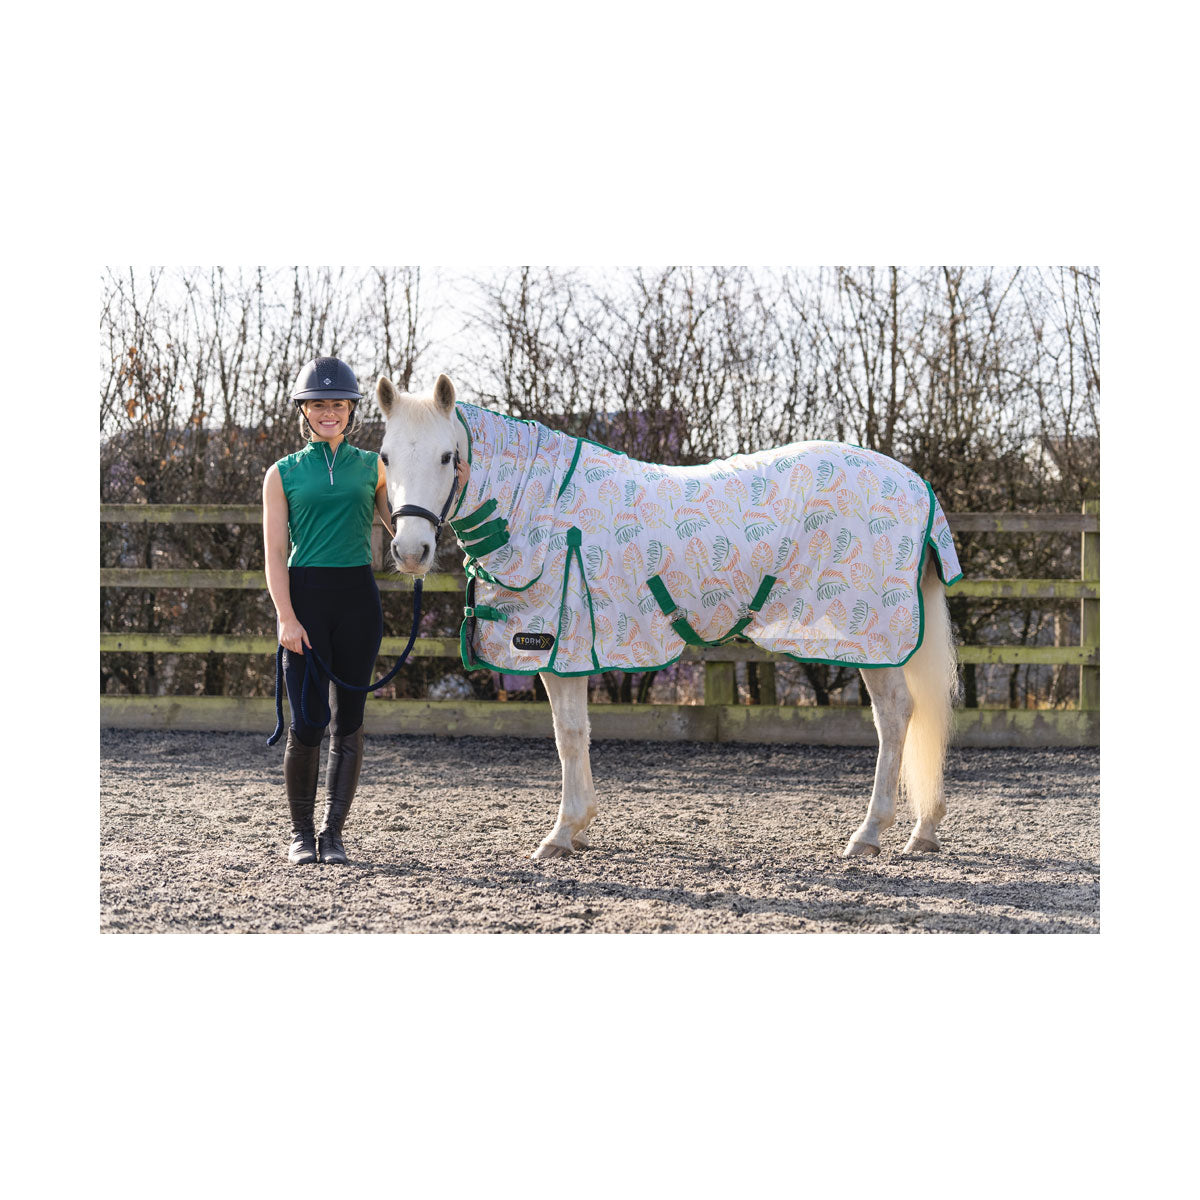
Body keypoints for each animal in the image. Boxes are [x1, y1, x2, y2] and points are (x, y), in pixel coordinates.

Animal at [377, 373, 962, 861]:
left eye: (448, 456)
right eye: (384, 456)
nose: (411, 551)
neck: (544, 509)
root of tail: (917, 485)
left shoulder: (559, 648)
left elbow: (569, 734)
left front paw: (563, 832)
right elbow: (574, 733)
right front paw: (579, 828)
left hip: (873, 640)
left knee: (895, 717)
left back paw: (869, 834)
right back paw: (923, 831)